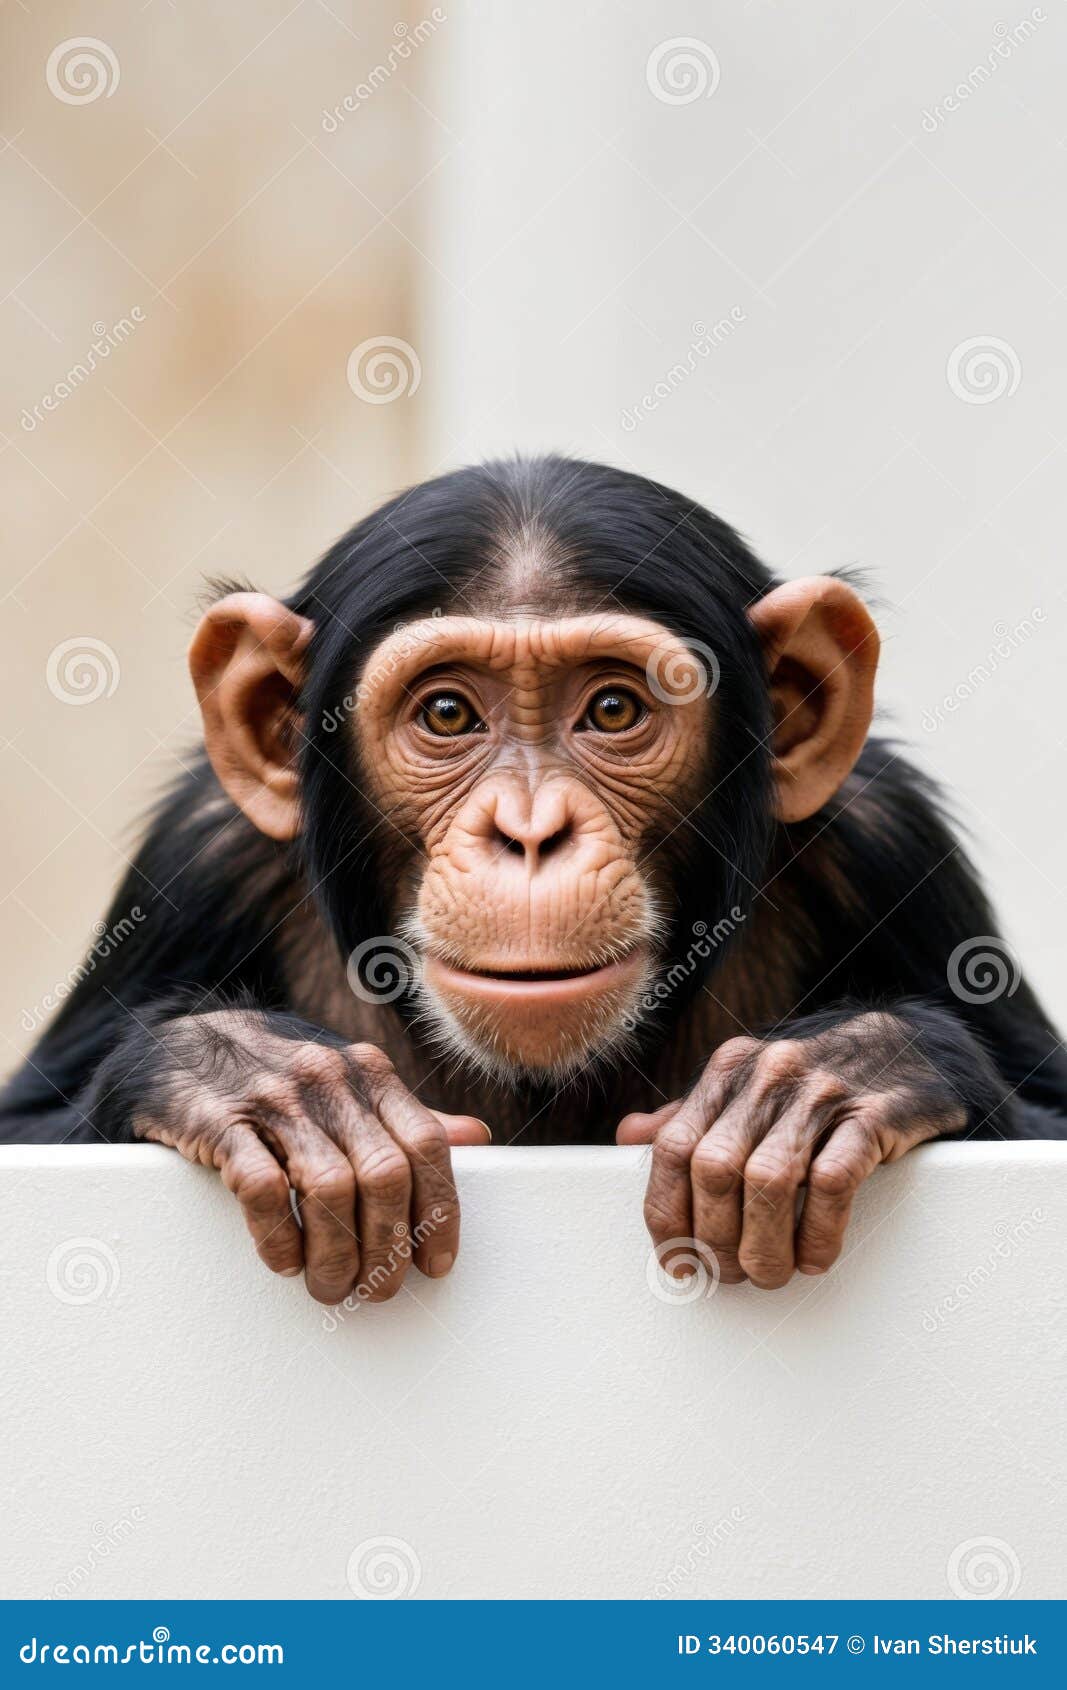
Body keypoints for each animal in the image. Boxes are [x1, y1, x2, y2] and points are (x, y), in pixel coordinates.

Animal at [2, 455, 1064, 1303]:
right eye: (445, 713)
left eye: (612, 708)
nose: (528, 832)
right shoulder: (192, 858)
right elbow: (31, 1120)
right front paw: (250, 1078)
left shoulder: (894, 841)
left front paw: (845, 1075)